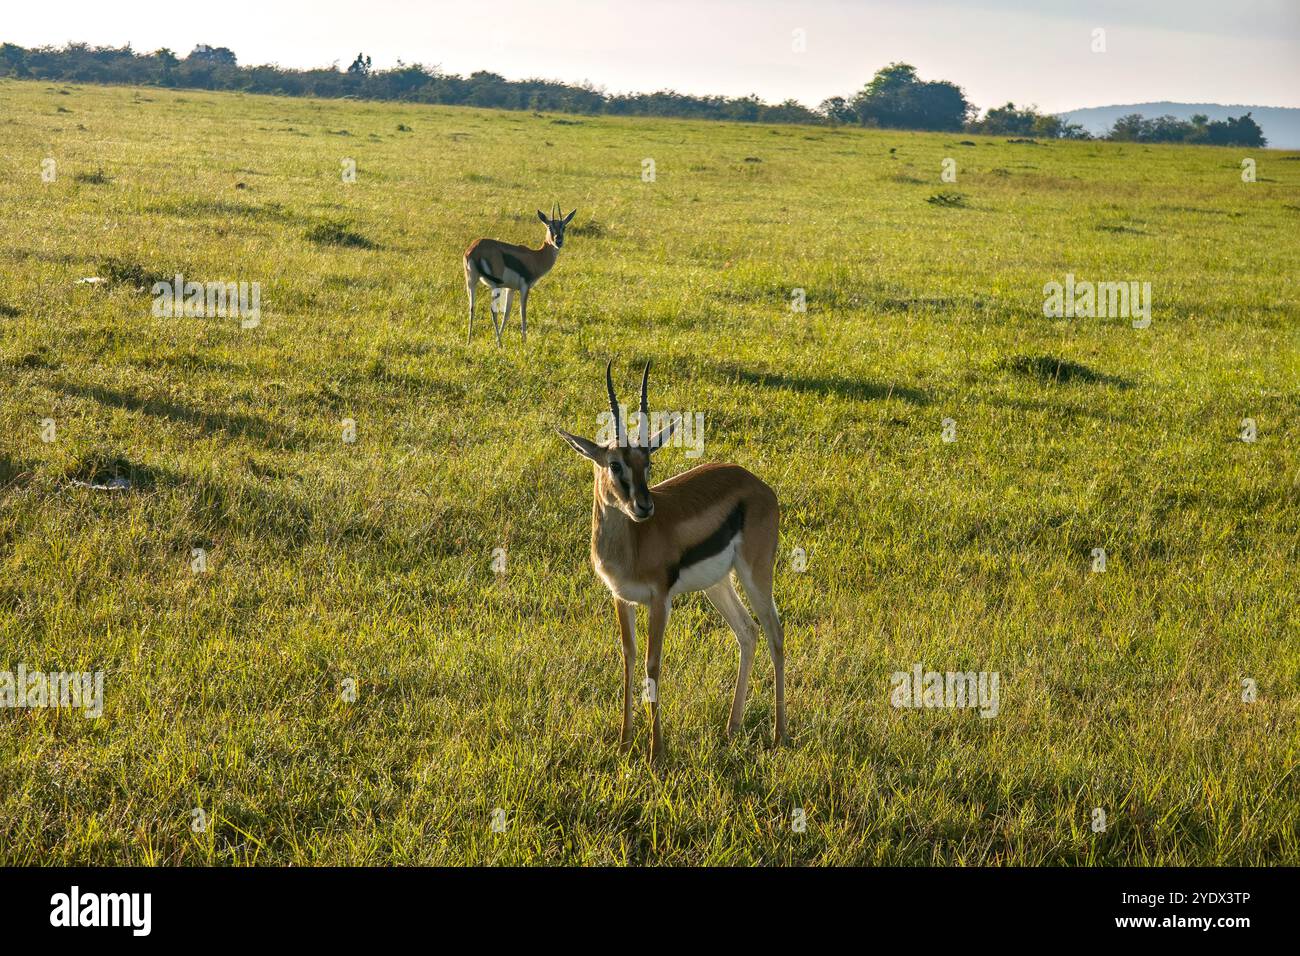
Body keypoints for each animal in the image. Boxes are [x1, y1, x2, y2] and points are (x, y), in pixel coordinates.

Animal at [463, 205, 576, 345]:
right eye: (550, 227)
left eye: (564, 227)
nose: (558, 241)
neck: (536, 257)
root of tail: (474, 249)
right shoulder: (524, 287)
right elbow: (523, 312)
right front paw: (524, 341)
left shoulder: (510, 289)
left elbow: (507, 314)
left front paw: (499, 338)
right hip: (495, 285)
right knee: (492, 310)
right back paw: (499, 344)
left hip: (471, 282)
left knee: (471, 308)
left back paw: (469, 342)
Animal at [556, 361, 787, 762]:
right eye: (614, 464)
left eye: (647, 462)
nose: (644, 506)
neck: (633, 543)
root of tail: (758, 484)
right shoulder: (621, 598)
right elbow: (629, 659)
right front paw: (624, 742)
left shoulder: (659, 599)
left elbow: (653, 663)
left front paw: (656, 752)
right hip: (717, 584)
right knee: (748, 631)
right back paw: (732, 727)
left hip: (755, 574)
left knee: (775, 633)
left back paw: (779, 736)